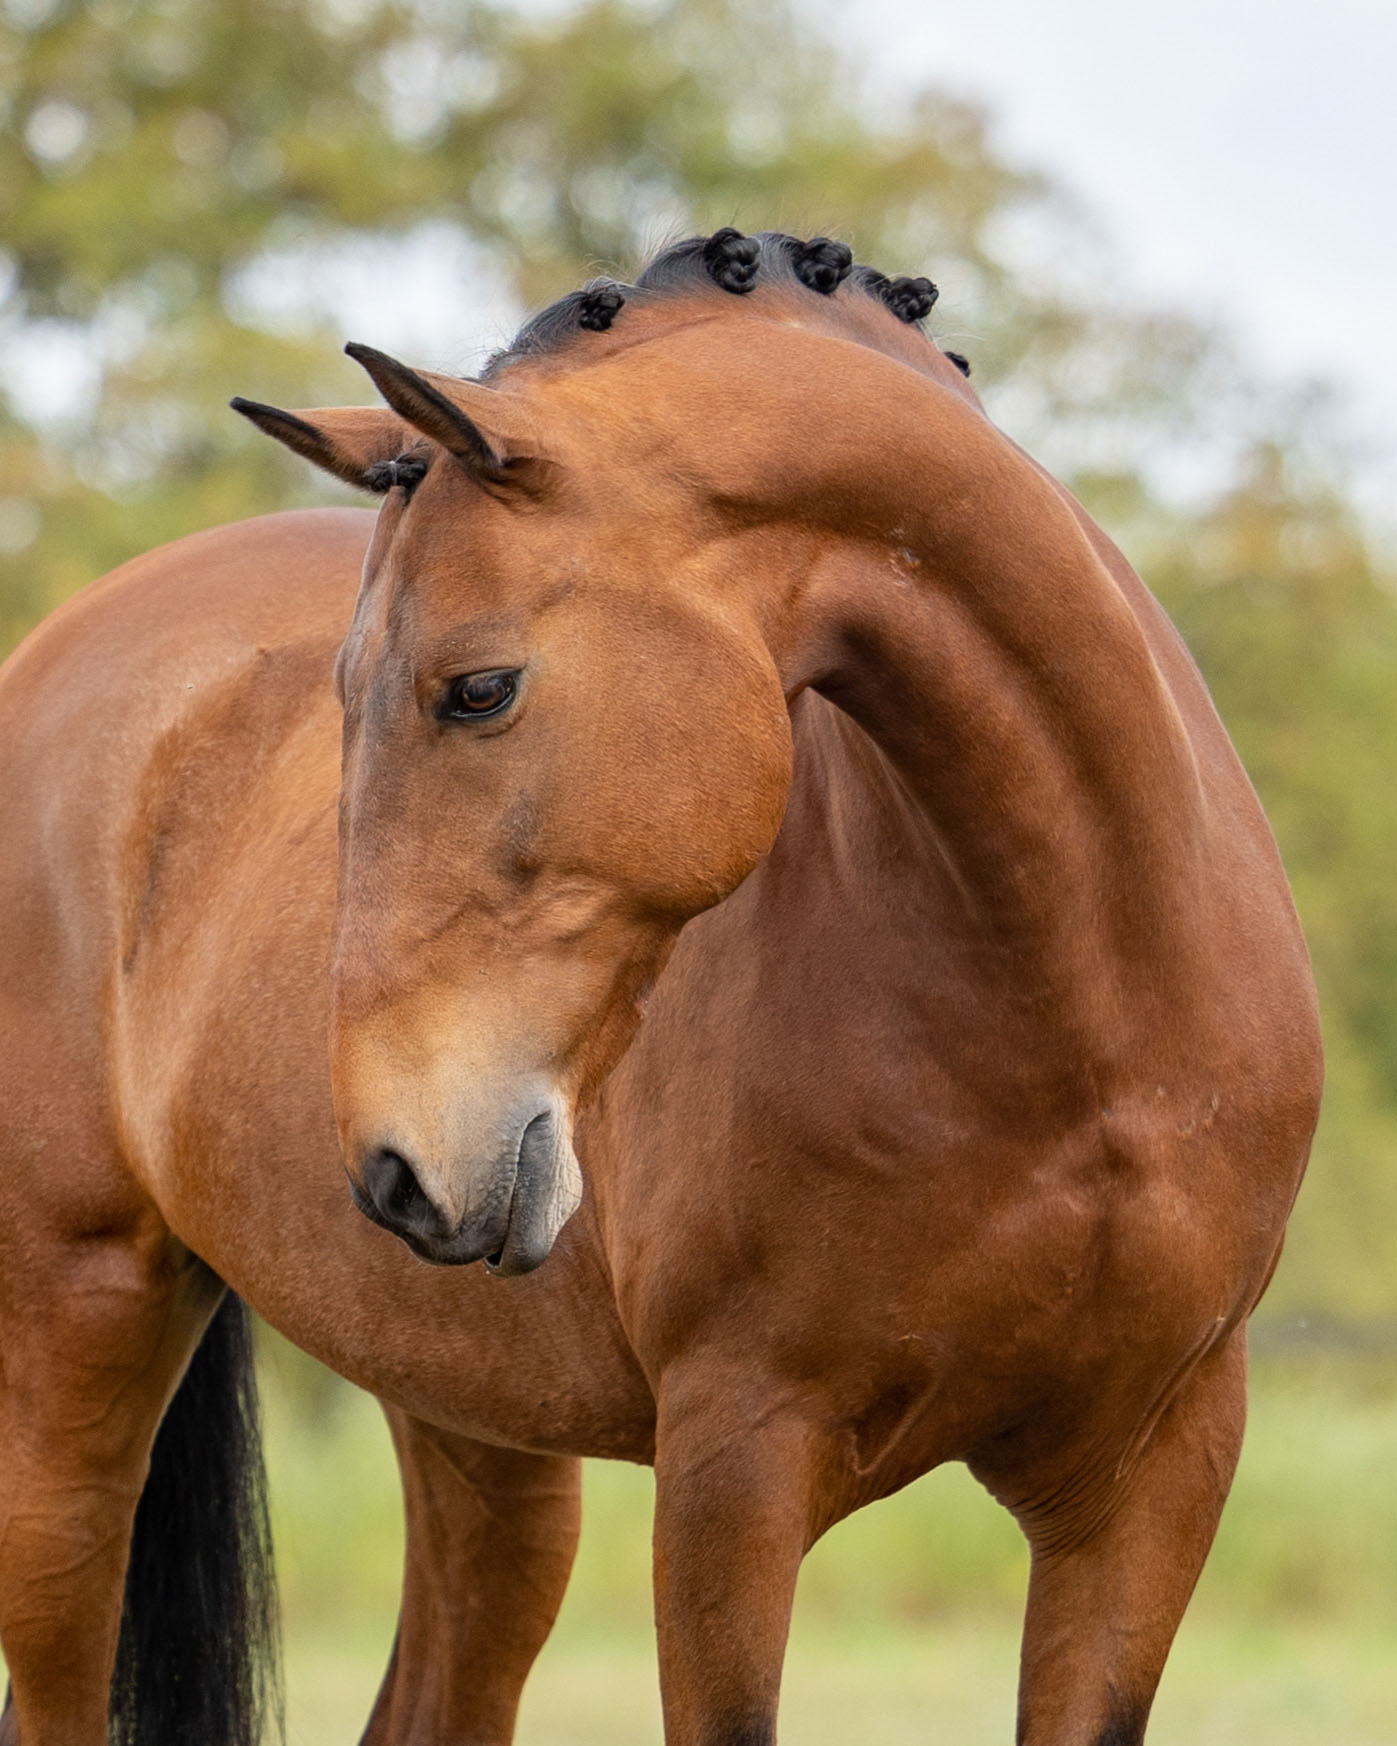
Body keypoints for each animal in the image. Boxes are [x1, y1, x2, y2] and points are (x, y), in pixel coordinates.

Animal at [0, 229, 1322, 1746]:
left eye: (478, 689)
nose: (394, 1166)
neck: (1078, 1018)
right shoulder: (734, 1468)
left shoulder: (1152, 1479)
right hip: (76, 1344)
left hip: (476, 1434)